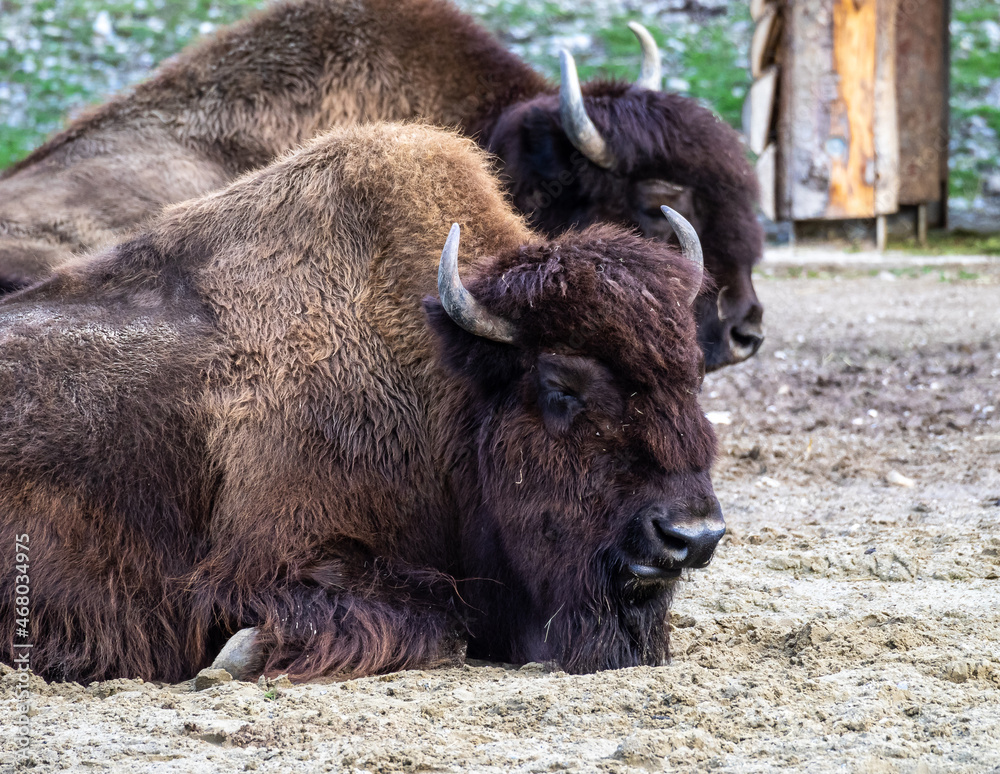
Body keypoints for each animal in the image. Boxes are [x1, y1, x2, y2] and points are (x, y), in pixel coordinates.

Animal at [0, 123, 723, 683]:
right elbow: (439, 623)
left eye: (692, 376)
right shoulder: (268, 555)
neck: (443, 379)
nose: (692, 536)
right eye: (560, 386)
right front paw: (236, 655)